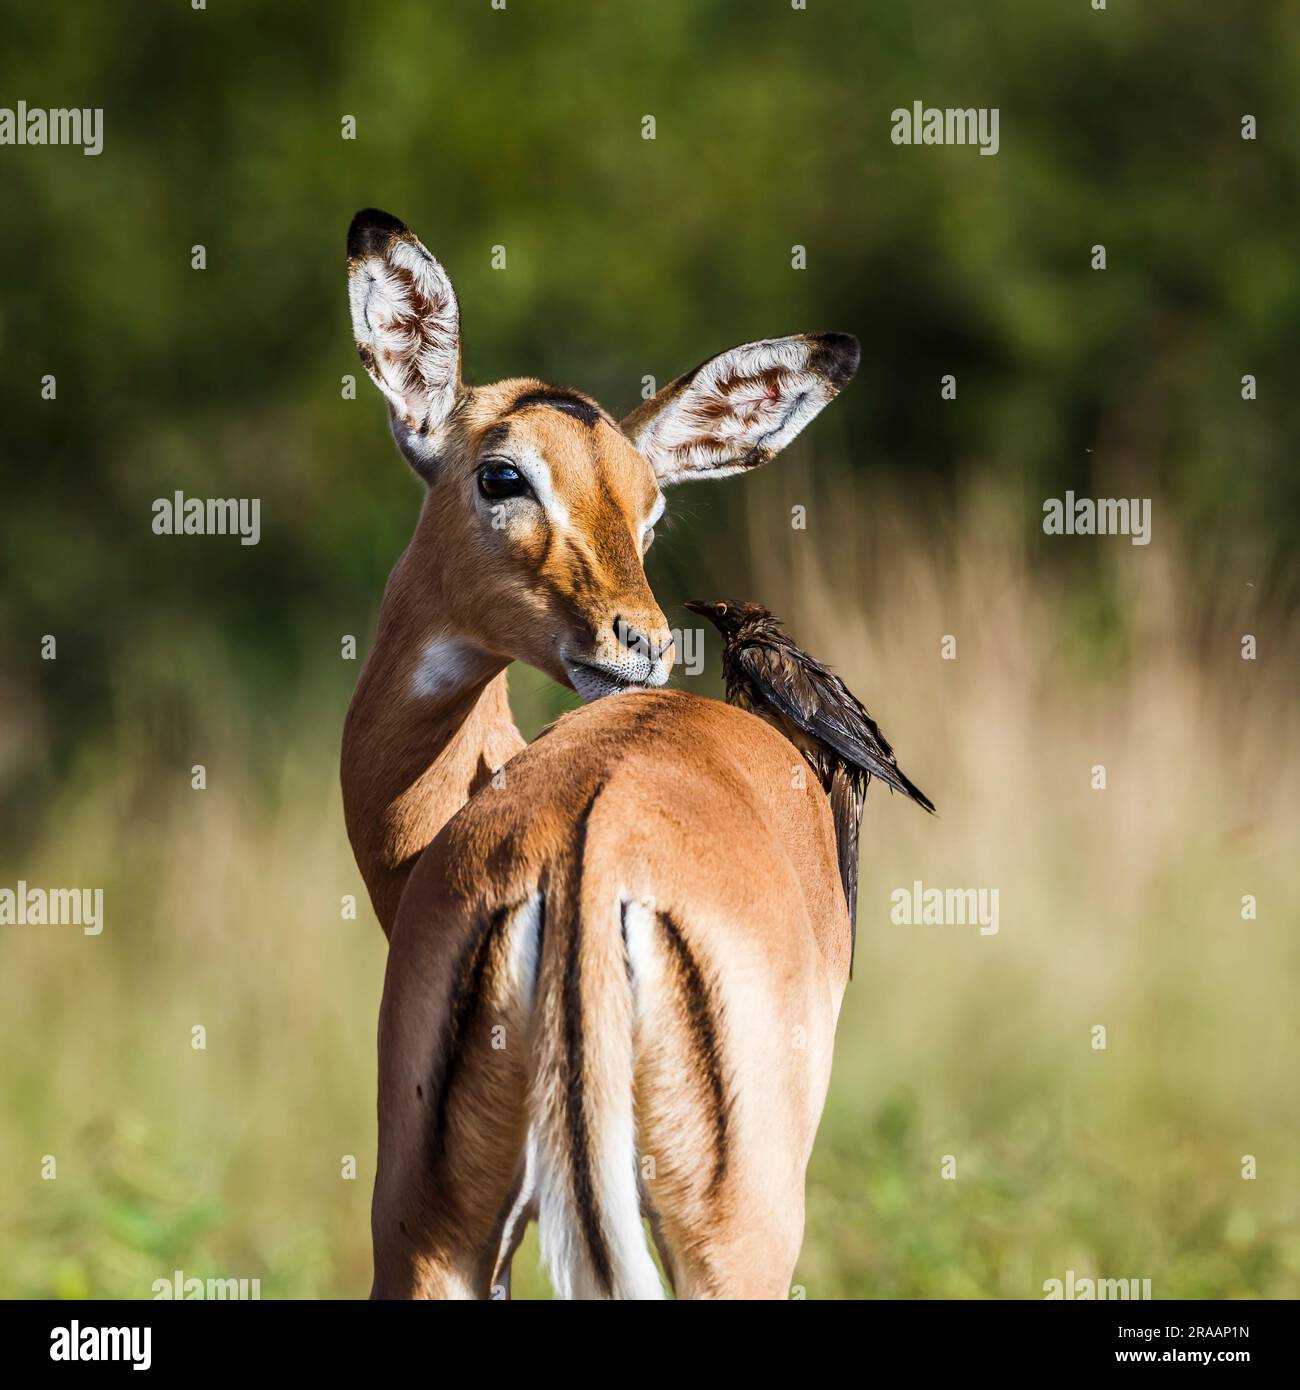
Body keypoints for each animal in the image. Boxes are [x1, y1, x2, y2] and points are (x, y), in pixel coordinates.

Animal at [341, 208, 860, 1299]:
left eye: (648, 507)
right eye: (503, 474)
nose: (642, 643)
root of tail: (586, 846)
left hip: (425, 1233)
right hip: (732, 1233)